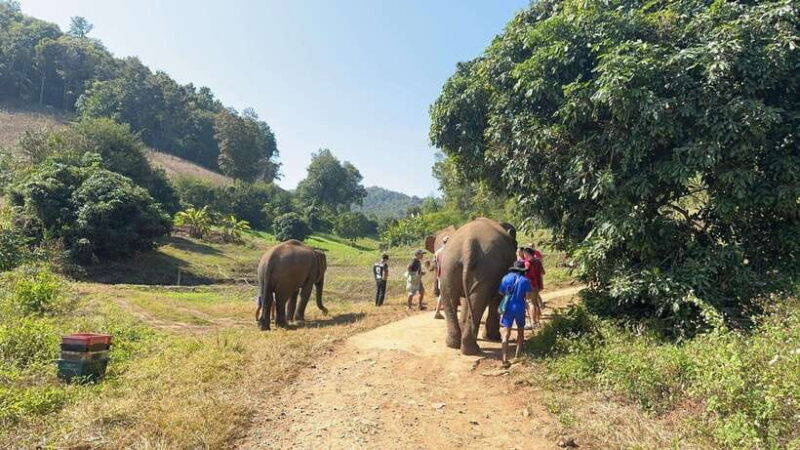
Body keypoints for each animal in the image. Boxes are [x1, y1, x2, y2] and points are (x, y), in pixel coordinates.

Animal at [437, 218, 517, 355]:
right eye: (516, 244)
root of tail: (467, 245)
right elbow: (496, 299)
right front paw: (493, 338)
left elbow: (466, 300)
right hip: (486, 268)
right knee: (478, 299)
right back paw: (472, 349)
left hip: (449, 266)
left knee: (450, 296)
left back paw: (454, 344)